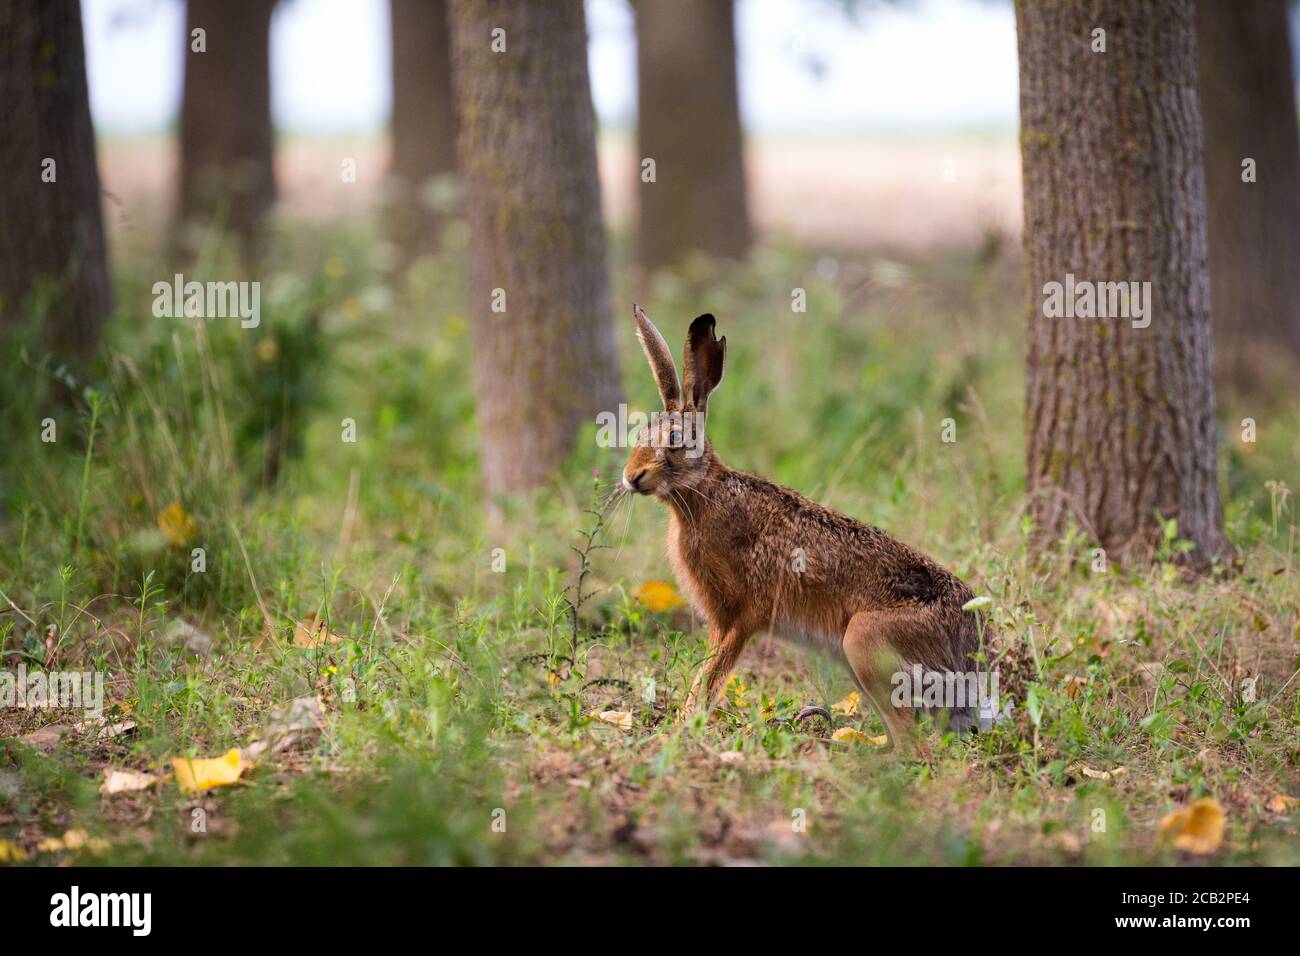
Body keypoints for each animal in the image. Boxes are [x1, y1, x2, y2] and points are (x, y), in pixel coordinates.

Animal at [620, 305, 991, 752]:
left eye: (676, 439)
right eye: (640, 433)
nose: (631, 477)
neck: (703, 492)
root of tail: (972, 660)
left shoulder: (743, 614)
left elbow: (712, 674)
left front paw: (683, 725)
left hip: (864, 643)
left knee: (912, 744)